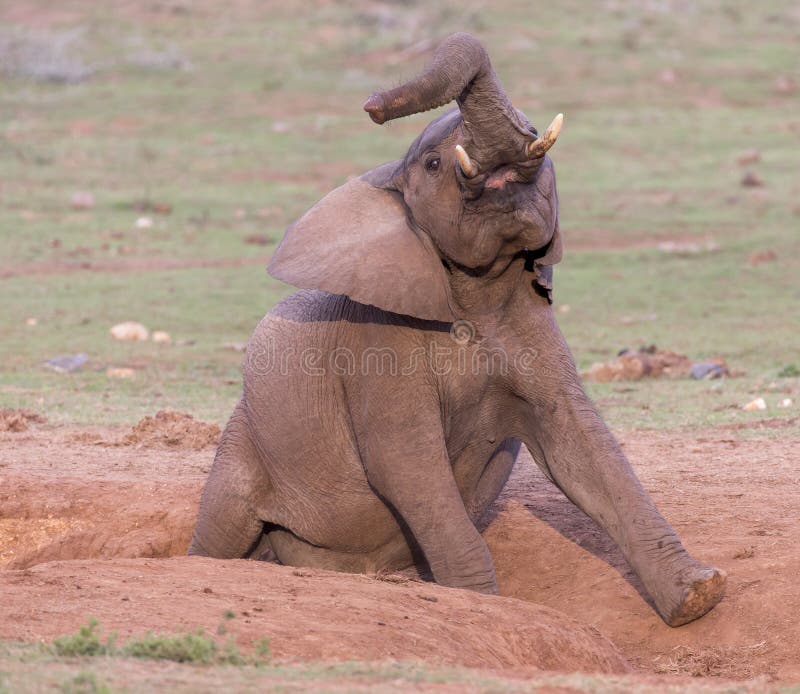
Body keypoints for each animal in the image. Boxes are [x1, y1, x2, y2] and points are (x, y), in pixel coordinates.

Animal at [189, 33, 726, 627]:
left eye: (535, 128)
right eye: (431, 164)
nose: (372, 105)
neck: (478, 291)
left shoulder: (531, 325)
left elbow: (580, 445)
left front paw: (699, 598)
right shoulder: (376, 343)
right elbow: (406, 461)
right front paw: (485, 604)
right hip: (241, 447)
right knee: (218, 533)